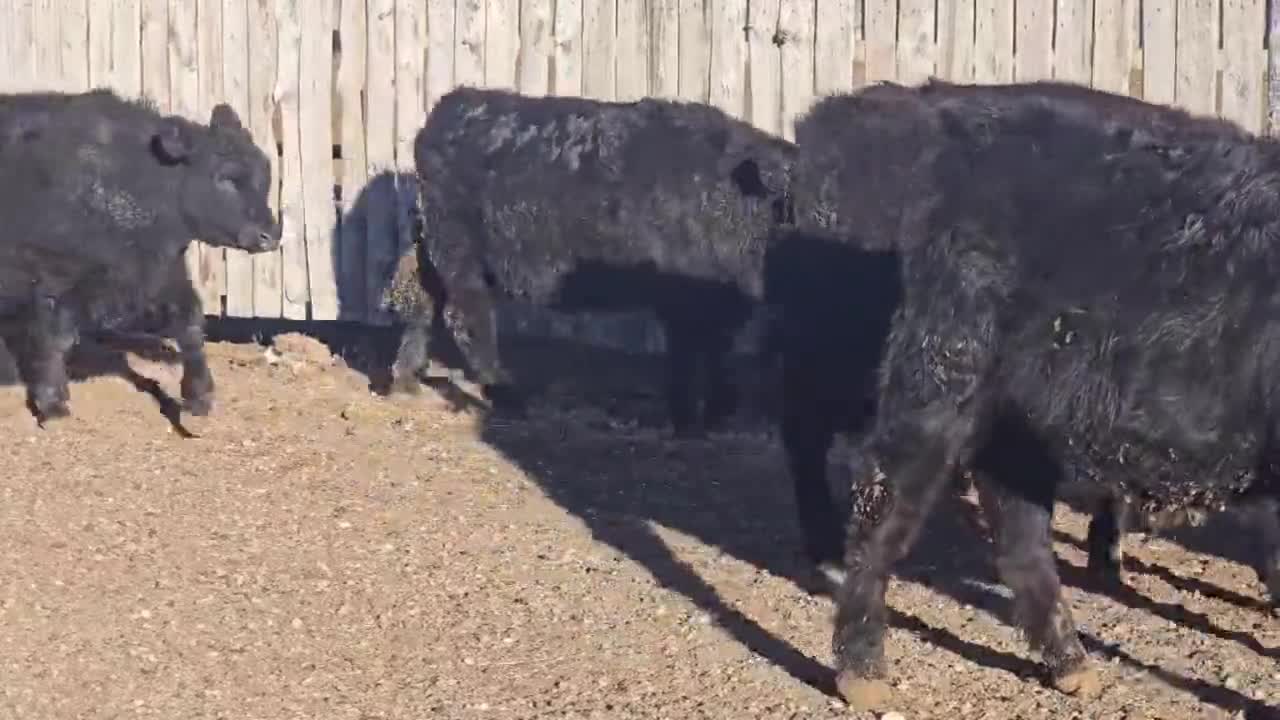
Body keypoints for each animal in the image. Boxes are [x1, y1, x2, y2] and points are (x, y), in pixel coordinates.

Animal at [0, 89, 281, 423]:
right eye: (226, 178)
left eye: (265, 172)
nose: (270, 235)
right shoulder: (56, 278)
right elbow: (57, 336)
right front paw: (53, 405)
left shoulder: (164, 270)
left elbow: (190, 324)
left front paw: (198, 398)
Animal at [384, 86, 795, 437]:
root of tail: (452, 105)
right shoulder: (686, 302)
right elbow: (689, 354)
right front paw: (689, 419)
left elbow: (712, 352)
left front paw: (717, 410)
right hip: (459, 254)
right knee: (467, 318)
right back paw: (506, 394)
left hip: (437, 253)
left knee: (424, 305)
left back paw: (405, 380)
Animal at [790, 79, 1280, 710]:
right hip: (936, 380)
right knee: (880, 501)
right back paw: (863, 671)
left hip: (1014, 418)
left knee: (1017, 534)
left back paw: (1073, 666)